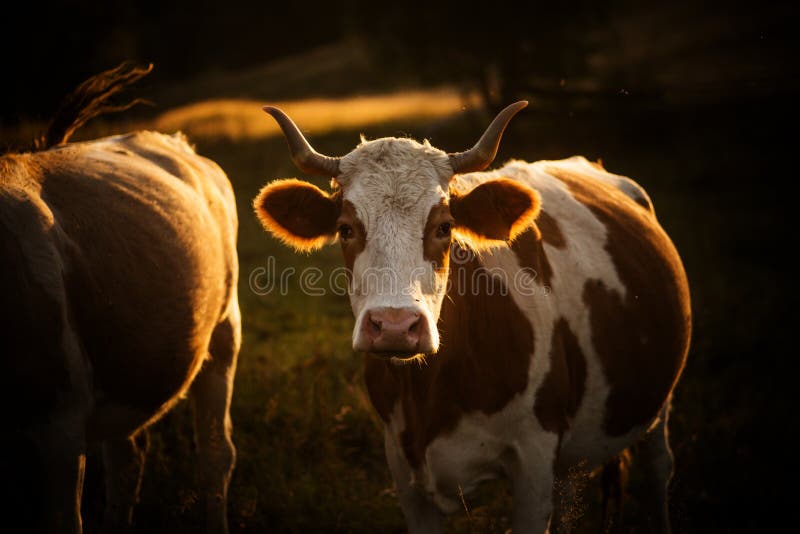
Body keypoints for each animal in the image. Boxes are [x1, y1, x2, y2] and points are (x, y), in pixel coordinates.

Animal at [253, 101, 691, 533]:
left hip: (657, 401)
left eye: (445, 227)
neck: (429, 393)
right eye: (345, 229)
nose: (395, 326)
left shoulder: (534, 462)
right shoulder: (404, 470)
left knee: (659, 468)